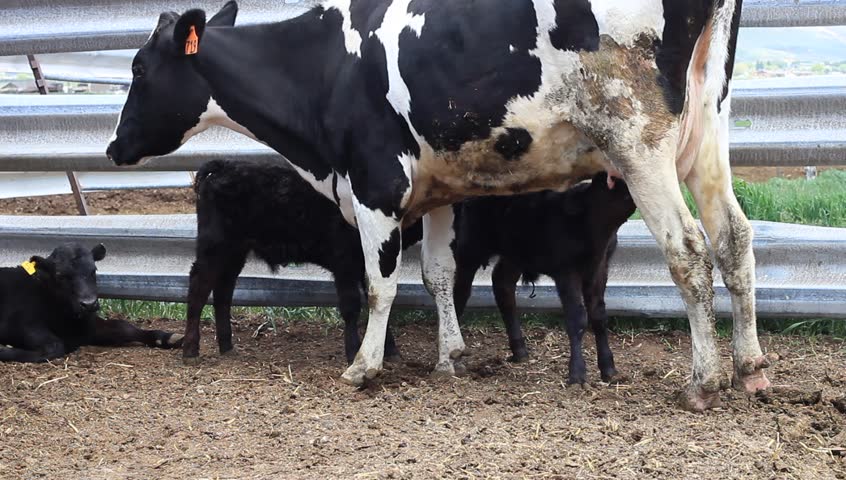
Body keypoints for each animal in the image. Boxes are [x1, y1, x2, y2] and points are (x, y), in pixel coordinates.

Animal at [0, 243, 183, 363]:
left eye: (93, 270)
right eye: (60, 275)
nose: (89, 304)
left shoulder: (89, 325)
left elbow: (123, 327)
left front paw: (168, 338)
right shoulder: (23, 323)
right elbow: (54, 346)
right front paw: (4, 349)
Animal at [187, 158, 422, 364]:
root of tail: (224, 165)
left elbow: (380, 304)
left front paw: (389, 351)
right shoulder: (344, 264)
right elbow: (351, 306)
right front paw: (353, 352)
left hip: (234, 253)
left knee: (223, 292)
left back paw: (227, 347)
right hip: (215, 247)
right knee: (199, 286)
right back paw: (190, 349)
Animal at [453, 172, 636, 385]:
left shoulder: (600, 269)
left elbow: (598, 316)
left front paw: (608, 369)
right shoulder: (566, 271)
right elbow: (577, 318)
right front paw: (577, 374)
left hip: (515, 254)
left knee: (502, 285)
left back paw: (520, 350)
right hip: (470, 248)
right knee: (460, 291)